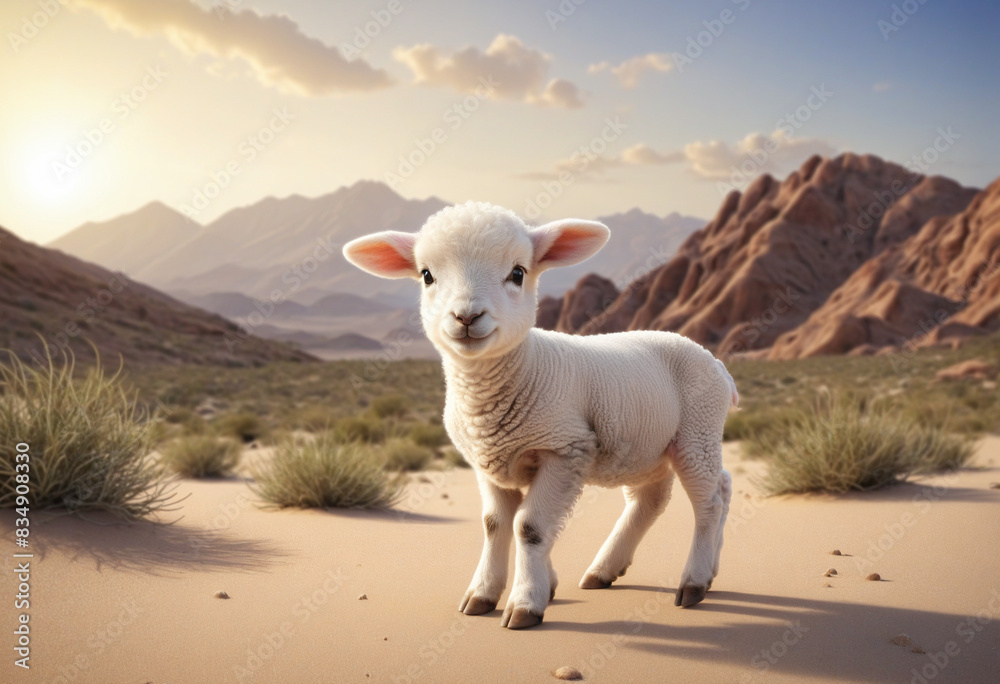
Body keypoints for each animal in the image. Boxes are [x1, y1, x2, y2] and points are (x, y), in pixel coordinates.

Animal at [343, 201, 737, 630]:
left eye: (518, 273)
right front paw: (490, 593)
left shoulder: (564, 449)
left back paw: (694, 581)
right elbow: (495, 525)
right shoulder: (489, 461)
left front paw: (526, 603)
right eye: (426, 275)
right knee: (660, 497)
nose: (466, 317)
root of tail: (717, 362)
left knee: (709, 500)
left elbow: (529, 527)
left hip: (697, 431)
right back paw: (611, 570)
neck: (523, 370)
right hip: (646, 448)